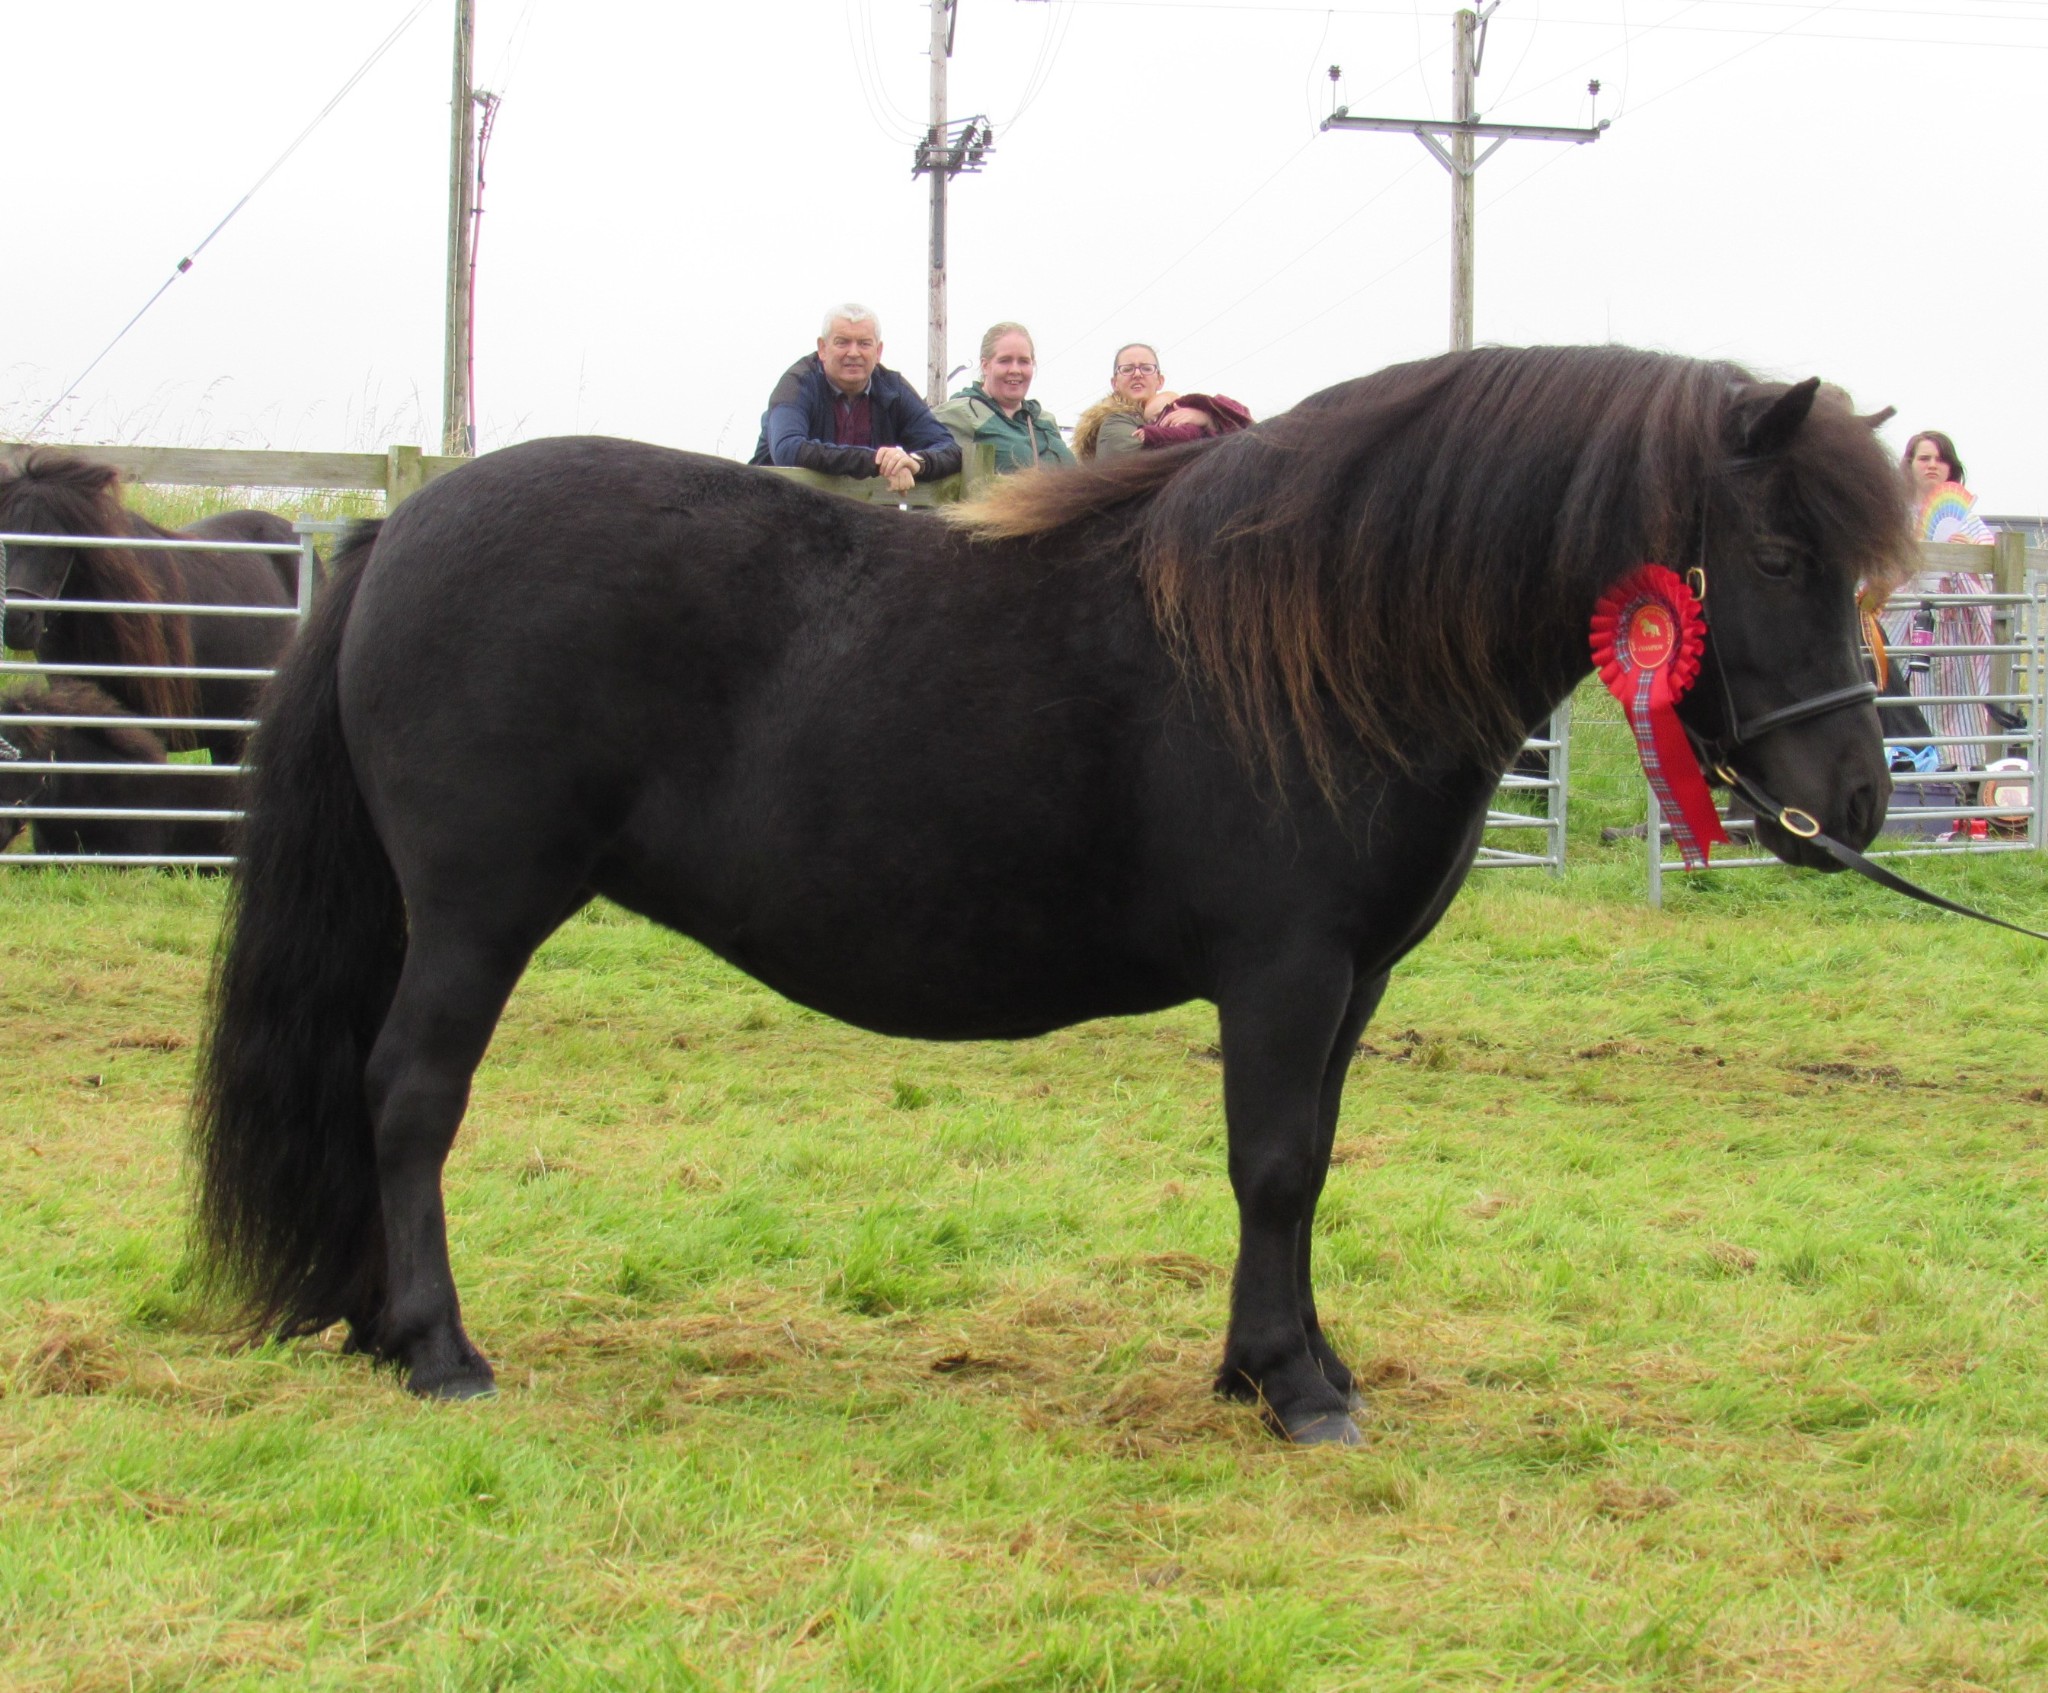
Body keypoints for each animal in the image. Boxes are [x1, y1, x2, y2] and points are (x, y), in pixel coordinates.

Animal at [192, 346, 1915, 1443]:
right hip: (479, 912)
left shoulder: (1350, 985)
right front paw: (1293, 1390)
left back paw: (379, 1329)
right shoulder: (1286, 972)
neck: (1325, 639)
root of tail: (400, 525)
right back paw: (439, 1352)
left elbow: (1311, 1166)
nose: (1850, 807)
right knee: (408, 1097)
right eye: (1776, 554)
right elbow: (1275, 1165)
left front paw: (1285, 1361)